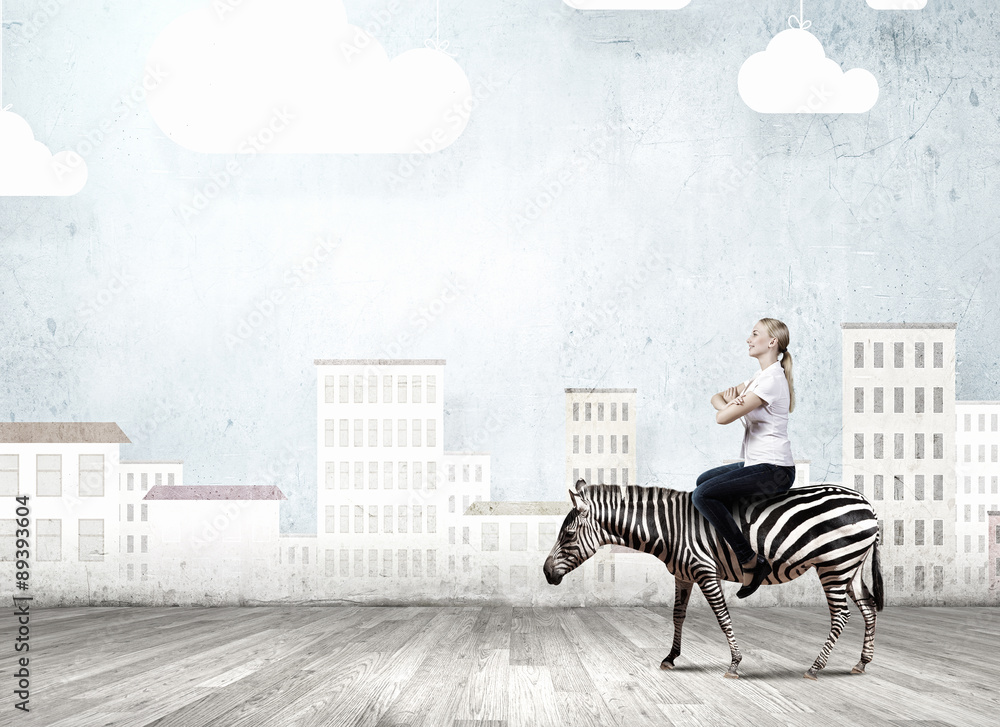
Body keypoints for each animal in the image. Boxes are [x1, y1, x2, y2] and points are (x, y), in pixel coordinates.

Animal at [542, 479, 884, 680]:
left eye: (568, 534)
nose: (545, 573)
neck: (670, 528)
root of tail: (867, 503)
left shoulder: (705, 570)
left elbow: (722, 616)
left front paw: (734, 663)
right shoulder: (683, 575)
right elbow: (677, 615)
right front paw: (670, 657)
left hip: (834, 564)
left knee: (841, 615)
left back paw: (815, 667)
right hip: (851, 567)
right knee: (868, 609)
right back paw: (862, 662)